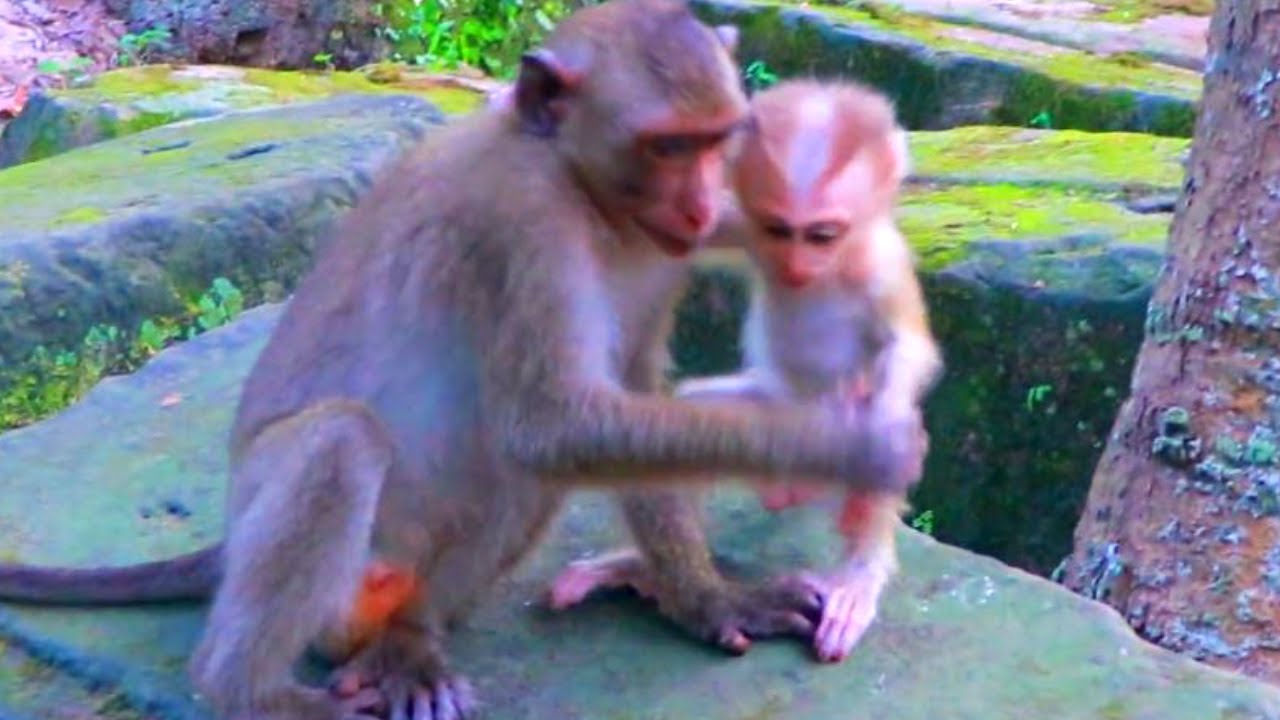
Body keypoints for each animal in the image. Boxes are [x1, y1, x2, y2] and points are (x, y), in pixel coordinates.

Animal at [546, 78, 943, 665]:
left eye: (823, 235)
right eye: (780, 230)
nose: (796, 268)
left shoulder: (883, 265)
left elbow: (907, 353)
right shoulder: (743, 226)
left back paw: (856, 579)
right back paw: (639, 568)